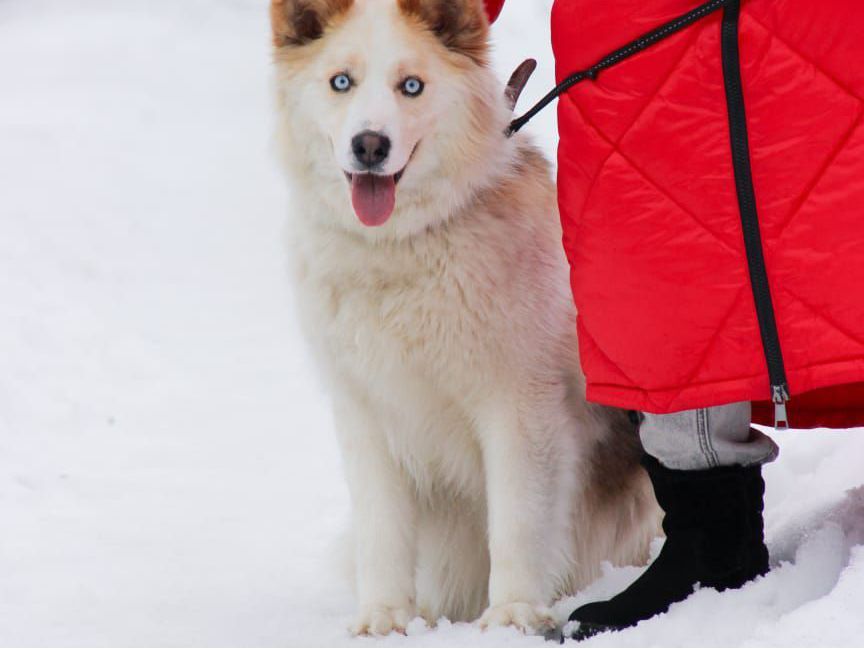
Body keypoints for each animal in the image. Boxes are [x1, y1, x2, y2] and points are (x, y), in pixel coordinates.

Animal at [272, 0, 660, 636]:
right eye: (340, 82)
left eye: (411, 86)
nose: (370, 145)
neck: (404, 249)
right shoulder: (364, 412)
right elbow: (382, 530)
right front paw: (384, 618)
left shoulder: (519, 408)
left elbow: (517, 522)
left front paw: (512, 614)